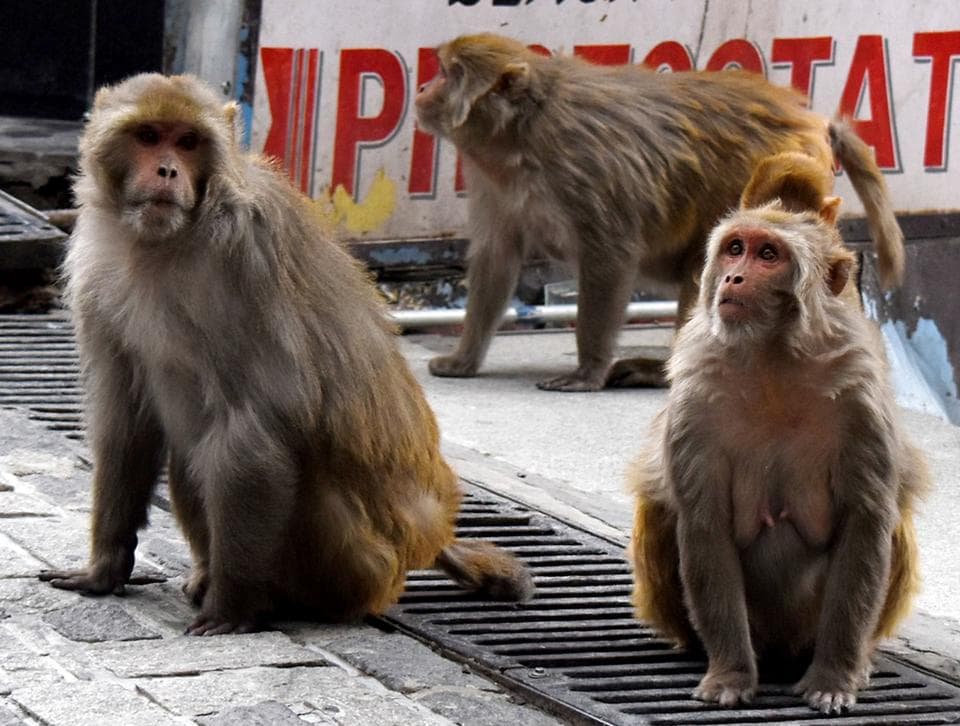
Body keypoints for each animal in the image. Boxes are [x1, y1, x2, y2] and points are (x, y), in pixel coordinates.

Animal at [38, 73, 534, 634]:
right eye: (147, 135)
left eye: (188, 142)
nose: (166, 169)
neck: (163, 243)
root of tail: (424, 541)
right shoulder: (97, 273)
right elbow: (126, 423)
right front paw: (105, 568)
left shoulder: (247, 258)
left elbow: (257, 424)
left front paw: (229, 607)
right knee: (192, 457)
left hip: (364, 561)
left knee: (248, 459)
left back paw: (276, 599)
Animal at [415, 33, 904, 392]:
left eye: (449, 74)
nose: (420, 88)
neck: (521, 135)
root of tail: (812, 120)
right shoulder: (492, 182)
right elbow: (497, 257)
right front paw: (463, 359)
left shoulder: (582, 169)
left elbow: (609, 256)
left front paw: (587, 372)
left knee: (712, 258)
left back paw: (664, 371)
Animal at [628, 153, 926, 713]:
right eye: (735, 248)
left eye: (769, 254)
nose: (734, 277)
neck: (774, 360)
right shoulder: (697, 400)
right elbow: (705, 524)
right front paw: (730, 673)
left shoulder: (861, 399)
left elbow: (865, 523)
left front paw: (834, 675)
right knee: (662, 512)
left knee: (890, 523)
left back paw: (856, 660)